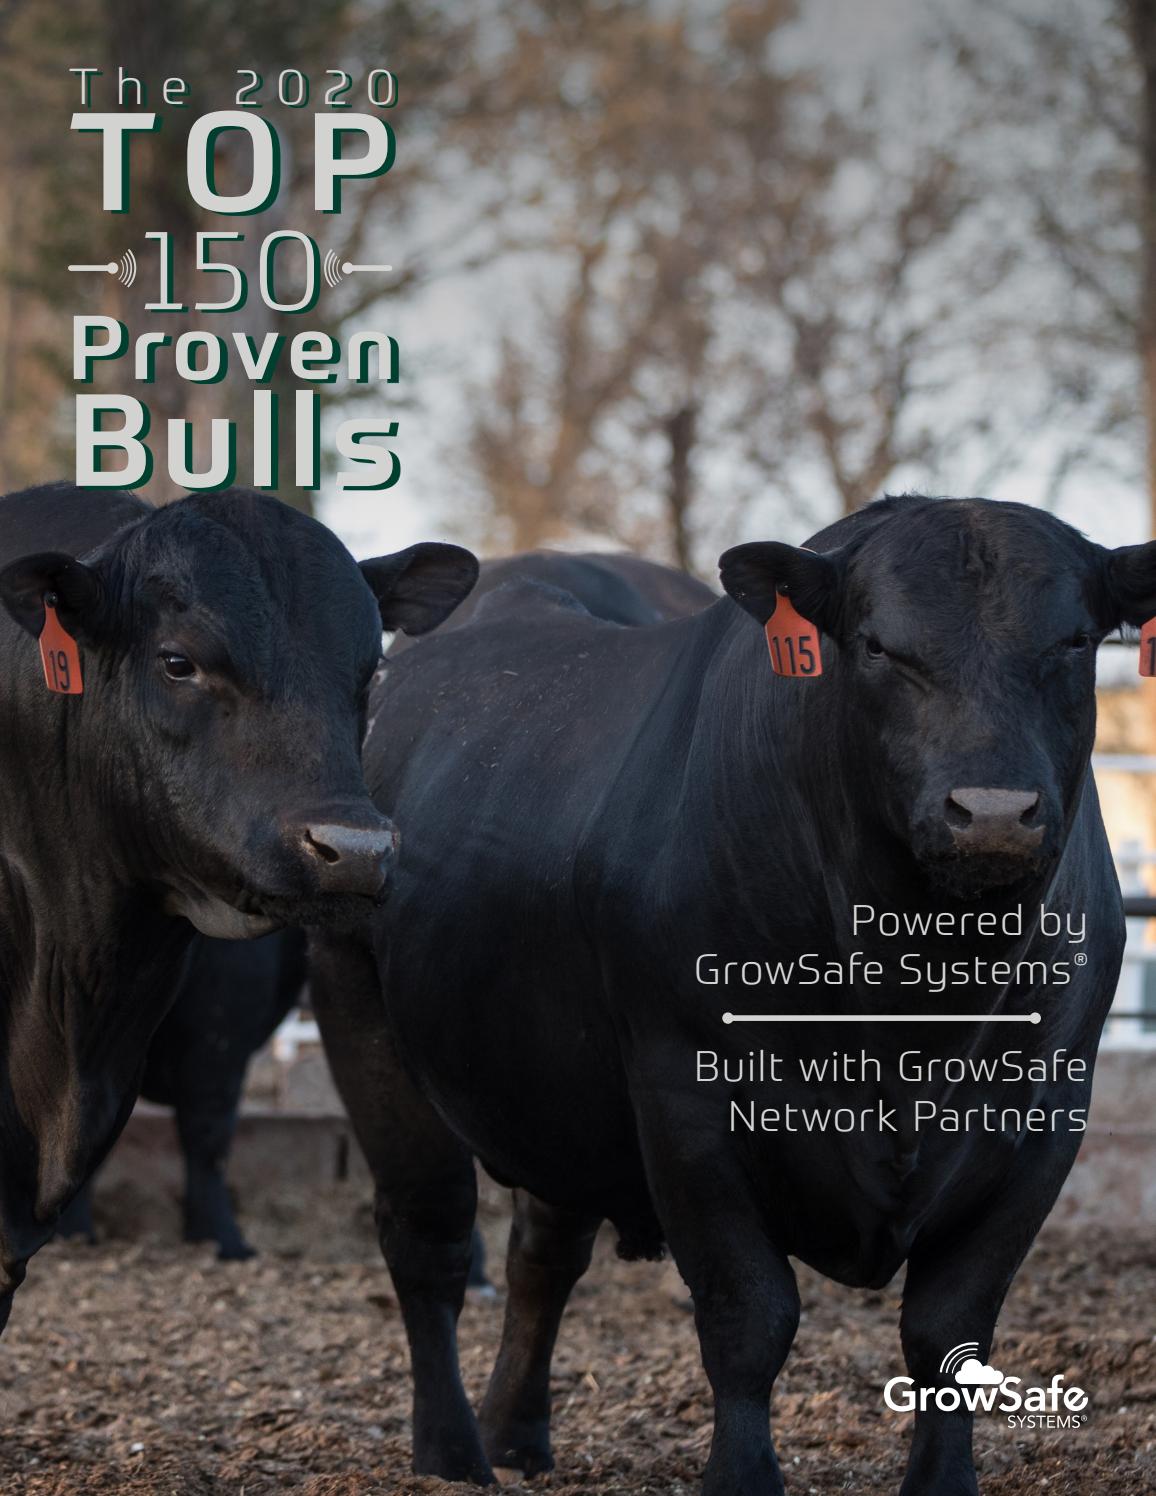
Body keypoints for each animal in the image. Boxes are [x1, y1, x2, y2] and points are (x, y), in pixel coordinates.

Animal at [310, 495, 1144, 1496]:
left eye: (1076, 641)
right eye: (877, 645)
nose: (990, 814)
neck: (916, 1001)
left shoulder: (1044, 1123)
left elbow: (951, 1331)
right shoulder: (688, 1101)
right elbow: (750, 1318)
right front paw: (742, 1476)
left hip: (553, 1073)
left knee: (543, 1252)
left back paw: (517, 1433)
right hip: (363, 1018)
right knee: (428, 1244)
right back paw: (453, 1453)